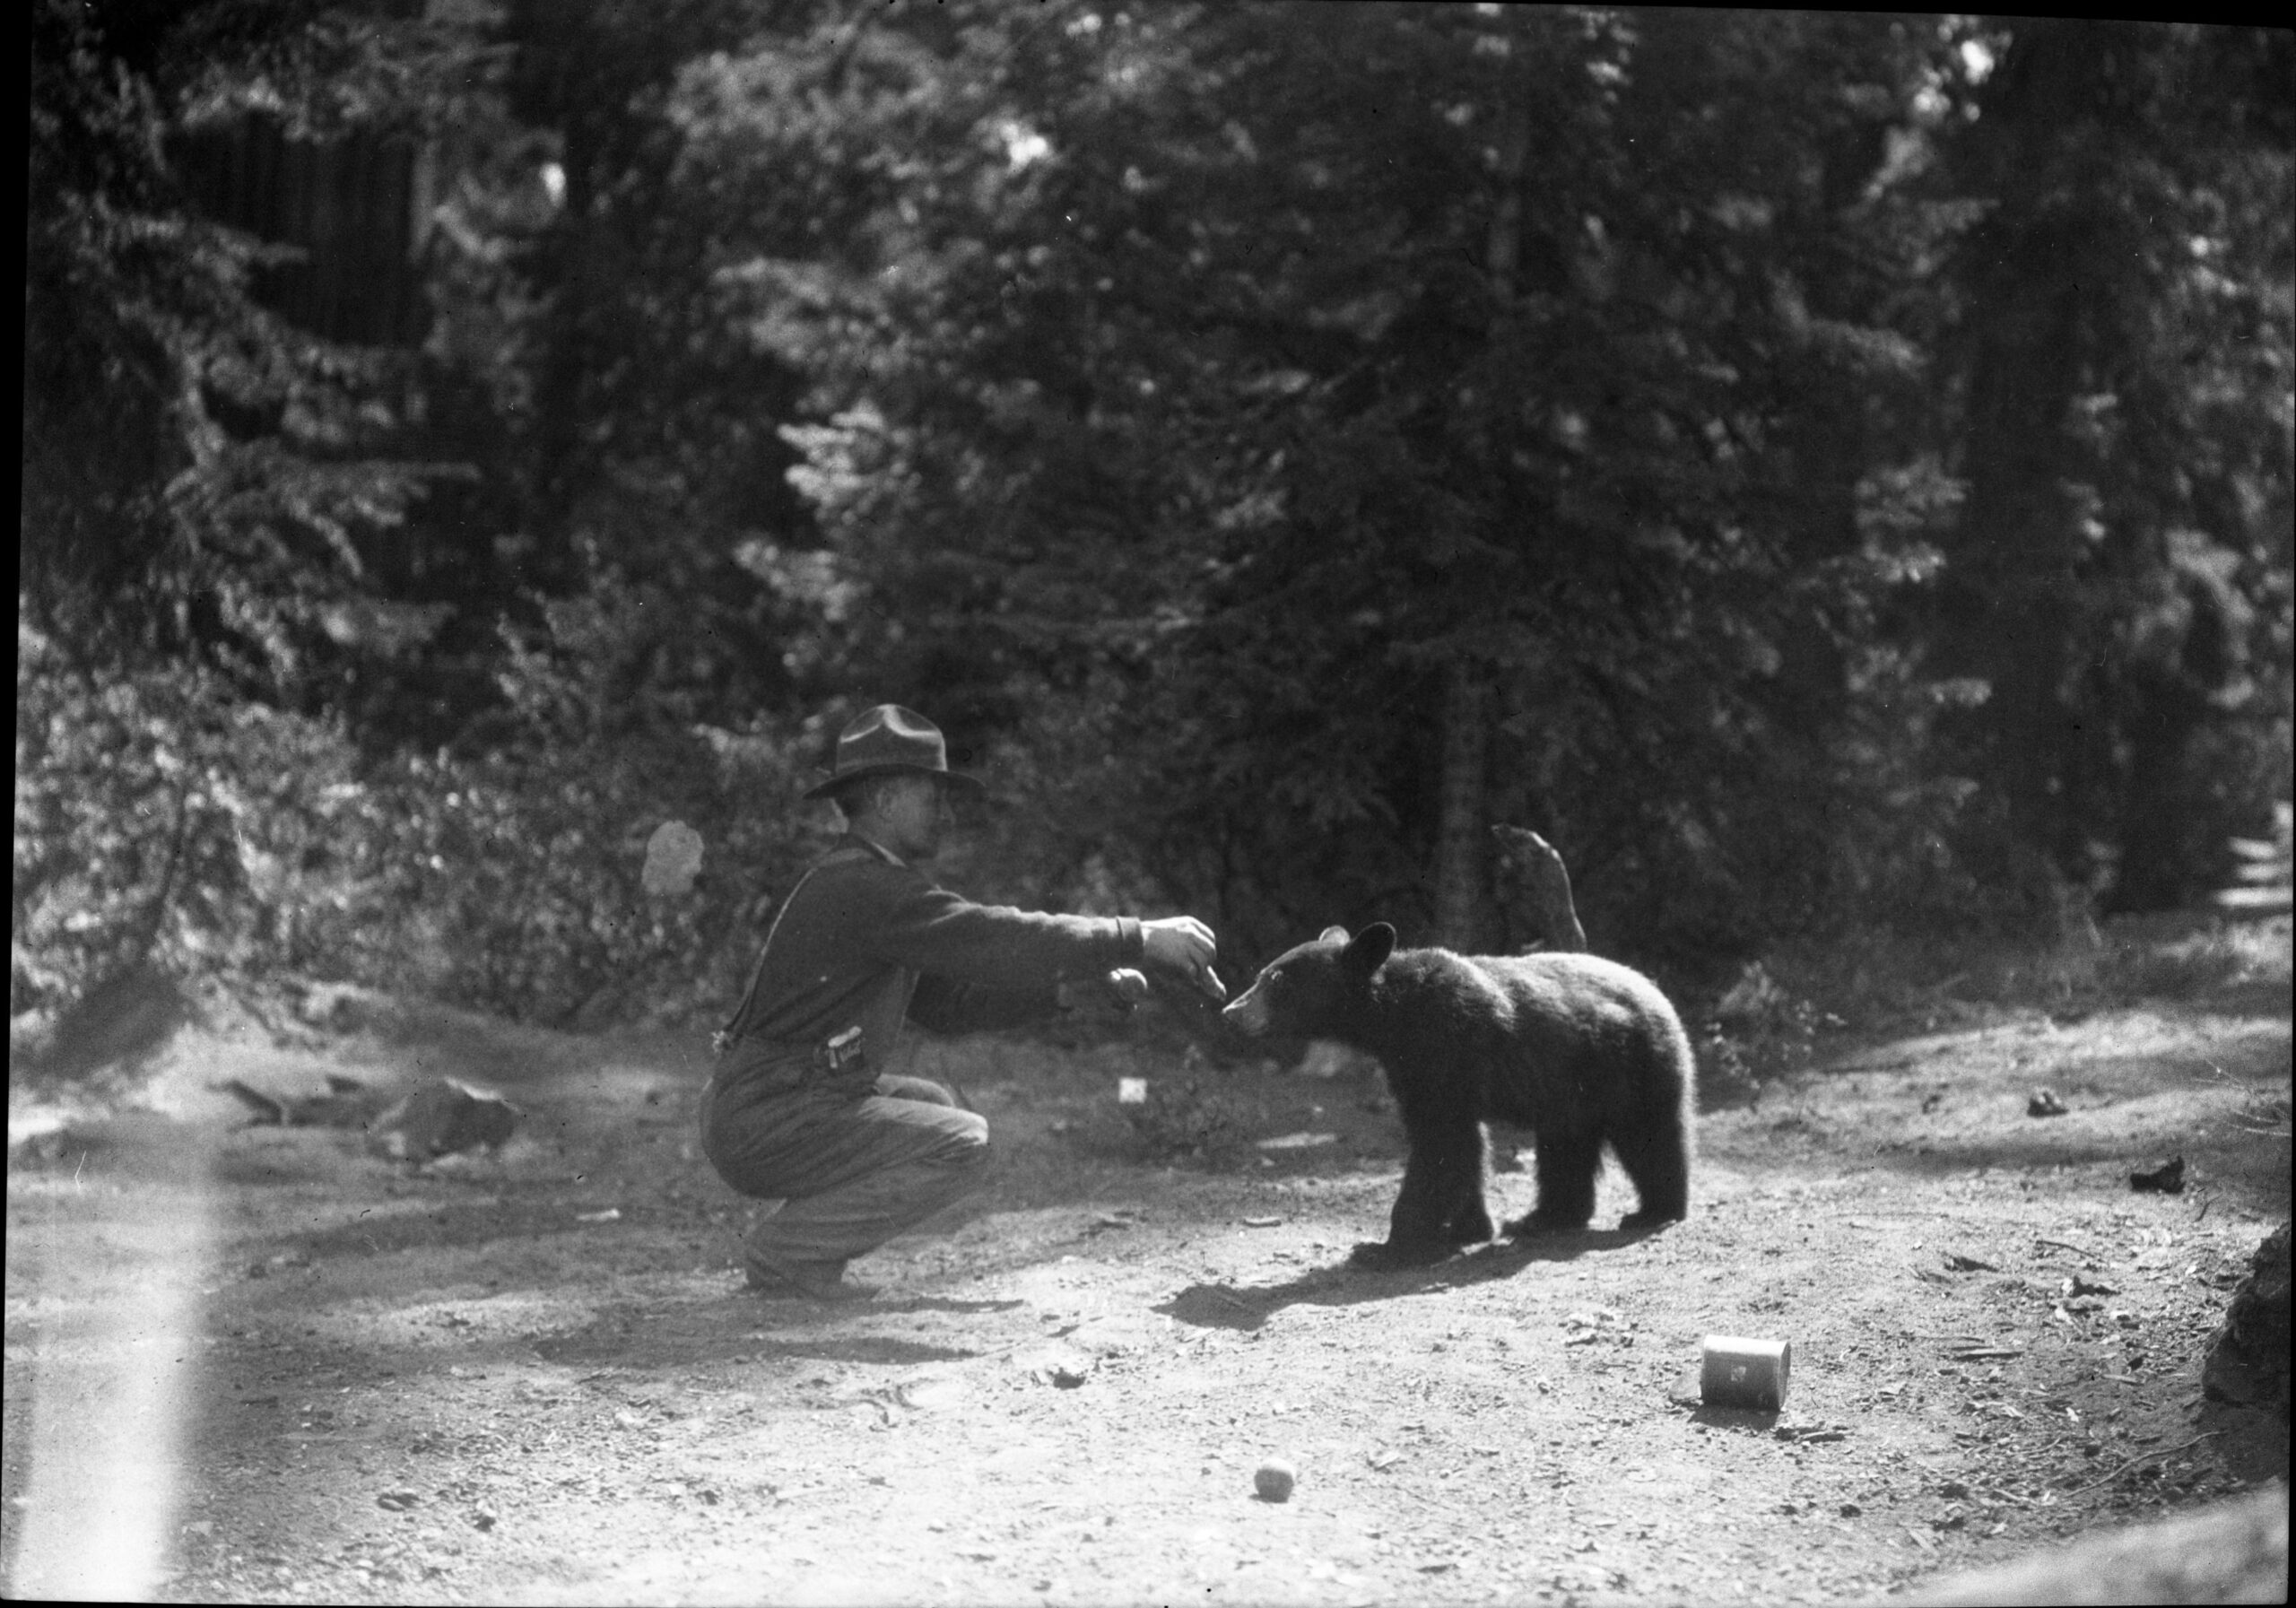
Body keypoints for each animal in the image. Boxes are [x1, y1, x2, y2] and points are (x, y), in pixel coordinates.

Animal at [1221, 922, 1695, 1268]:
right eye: (1264, 974)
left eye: (1276, 978)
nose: (1231, 1012)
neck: (1394, 1016)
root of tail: (1659, 995)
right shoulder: (1415, 1072)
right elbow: (1462, 1146)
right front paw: (1470, 1228)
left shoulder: (1445, 1049)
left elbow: (1442, 1145)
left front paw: (1389, 1248)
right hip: (1571, 1091)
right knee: (1566, 1149)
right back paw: (1542, 1218)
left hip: (1629, 1065)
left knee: (1649, 1138)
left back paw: (1653, 1210)